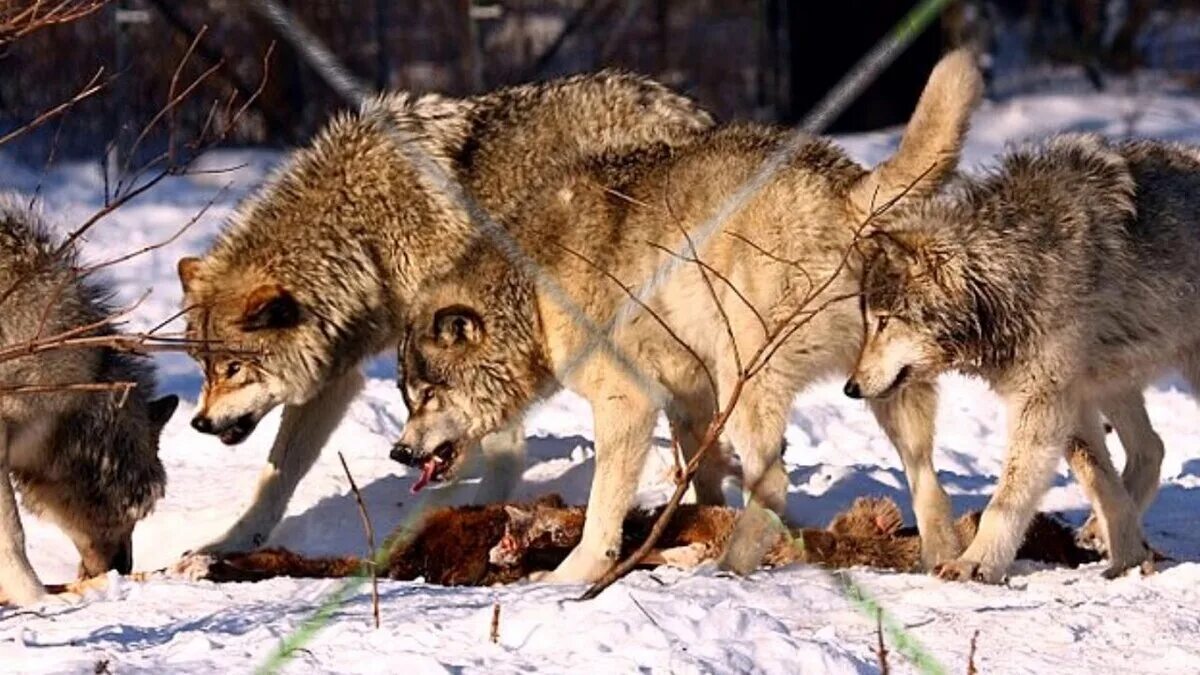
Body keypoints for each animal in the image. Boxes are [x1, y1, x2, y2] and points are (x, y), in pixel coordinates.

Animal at [170, 69, 710, 552]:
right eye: (203, 367)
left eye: (234, 368)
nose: (199, 423)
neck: (363, 238)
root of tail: (693, 113)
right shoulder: (337, 374)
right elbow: (275, 476)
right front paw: (230, 542)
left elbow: (496, 447)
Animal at [393, 51, 984, 578]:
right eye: (408, 397)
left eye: (429, 394)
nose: (400, 453)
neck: (532, 291)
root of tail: (845, 192)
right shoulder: (690, 400)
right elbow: (705, 480)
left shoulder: (628, 402)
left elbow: (602, 515)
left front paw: (571, 577)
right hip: (884, 385)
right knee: (928, 480)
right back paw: (936, 560)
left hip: (747, 380)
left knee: (773, 485)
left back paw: (726, 568)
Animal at [849, 133, 1195, 581]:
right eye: (869, 321)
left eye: (884, 321)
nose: (850, 387)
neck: (1009, 268)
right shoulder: (1070, 399)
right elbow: (1101, 481)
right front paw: (1129, 559)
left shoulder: (1043, 401)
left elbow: (1005, 500)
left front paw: (975, 564)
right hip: (1111, 380)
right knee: (1152, 448)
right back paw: (1098, 531)